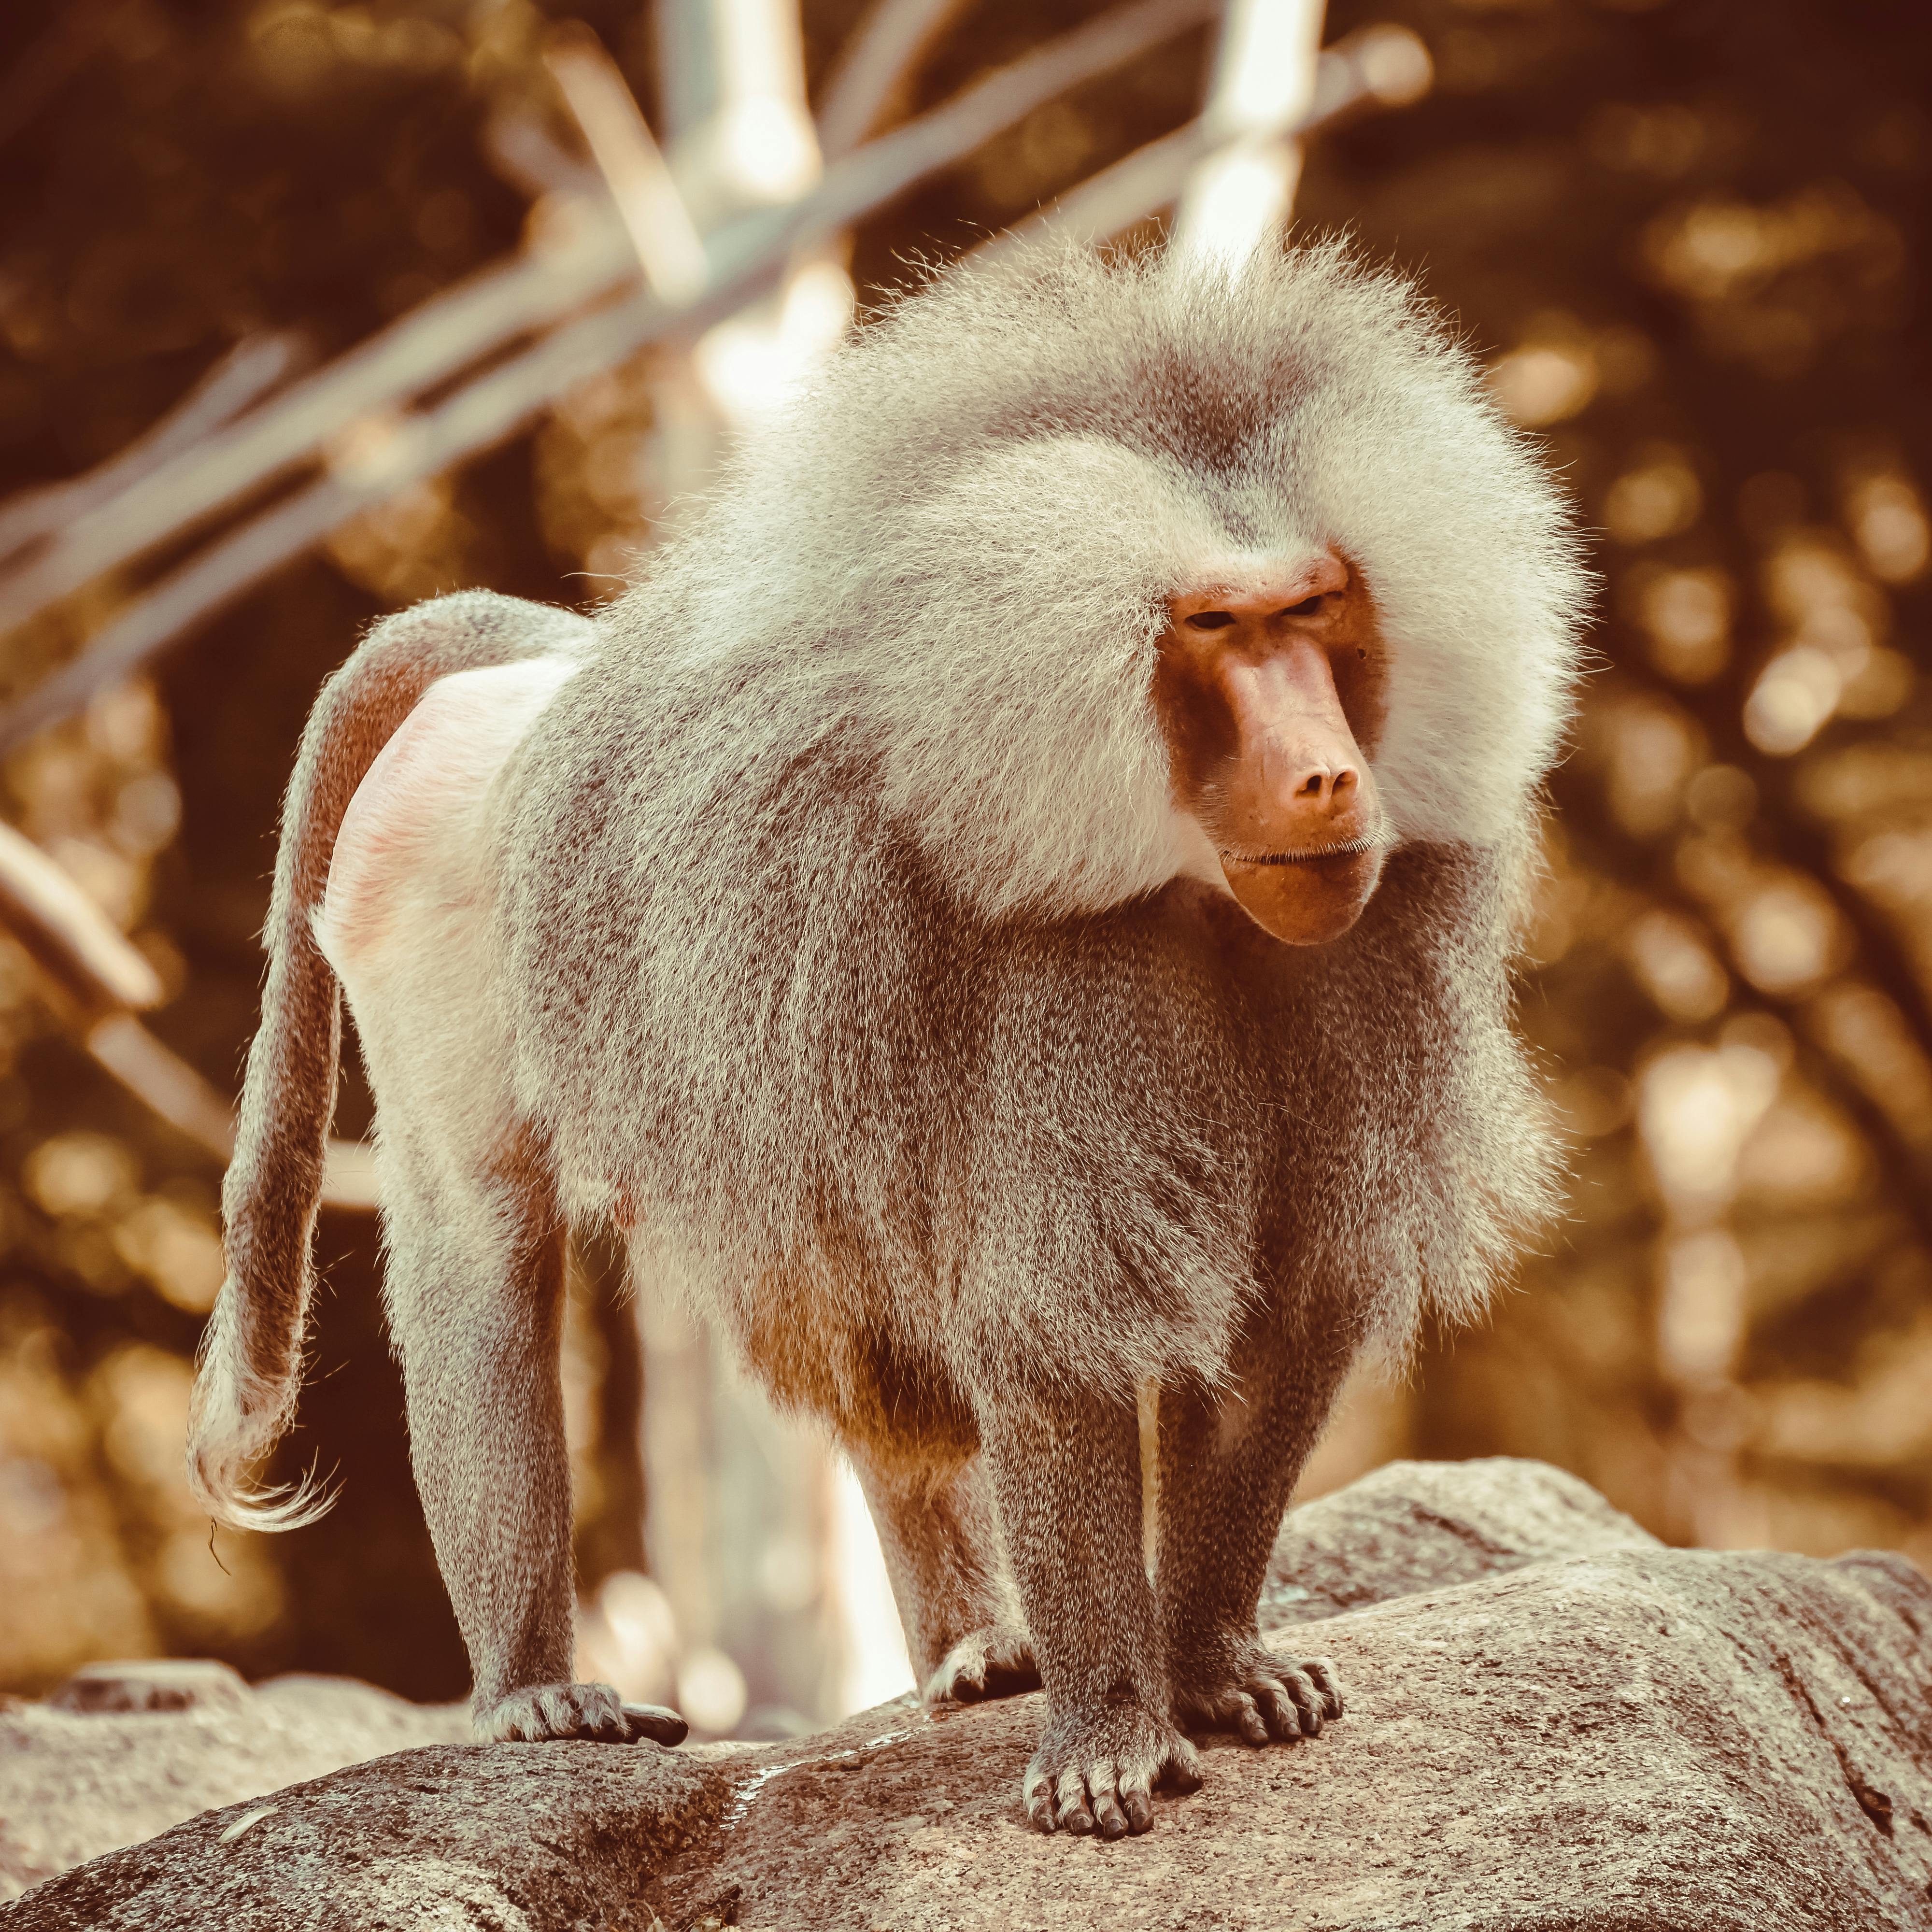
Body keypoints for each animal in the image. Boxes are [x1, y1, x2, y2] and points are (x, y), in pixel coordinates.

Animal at [187, 239, 1586, 1839]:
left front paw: (1217, 1663)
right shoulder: (1062, 992)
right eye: (1215, 629)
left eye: (1314, 606)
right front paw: (1111, 1732)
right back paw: (537, 1691)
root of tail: (528, 686)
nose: (1326, 778)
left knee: (864, 1325)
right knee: (488, 1245)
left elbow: (1291, 1306)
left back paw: (977, 1650)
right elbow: (1057, 1326)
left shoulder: (1365, 944)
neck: (1175, 874)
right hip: (426, 915)